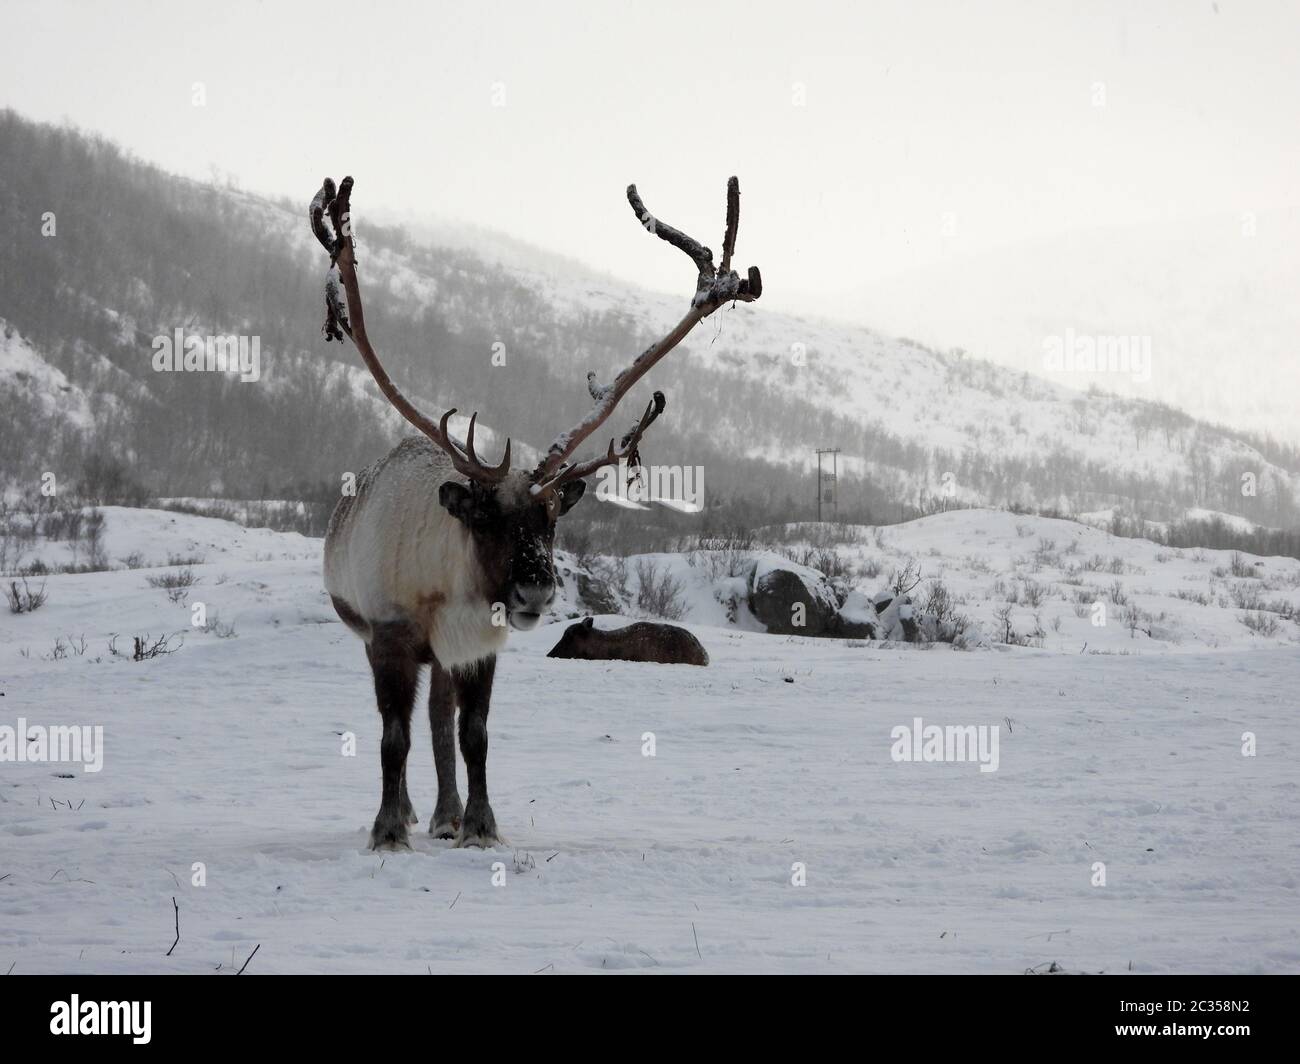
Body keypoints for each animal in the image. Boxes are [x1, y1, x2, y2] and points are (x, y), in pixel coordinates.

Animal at [308, 174, 762, 850]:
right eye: (485, 517)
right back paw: (414, 813)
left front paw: (478, 825)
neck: (449, 588)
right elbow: (393, 738)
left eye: (551, 520)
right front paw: (387, 829)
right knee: (413, 725)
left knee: (439, 717)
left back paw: (443, 814)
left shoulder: (478, 648)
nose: (536, 591)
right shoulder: (389, 638)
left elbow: (473, 736)